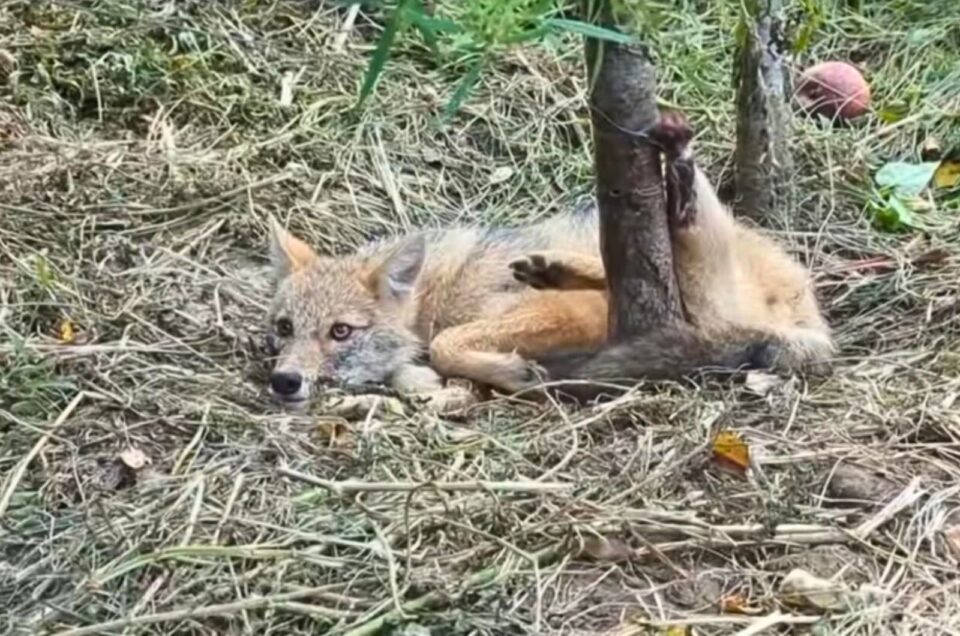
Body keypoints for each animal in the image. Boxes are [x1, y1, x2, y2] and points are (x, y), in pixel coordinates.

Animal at [263, 112, 832, 410]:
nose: (283, 381)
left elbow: (448, 345)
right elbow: (423, 368)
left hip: (694, 298)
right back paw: (555, 266)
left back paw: (680, 174)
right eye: (284, 328)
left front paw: (512, 373)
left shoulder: (567, 316)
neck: (440, 291)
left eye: (340, 331)